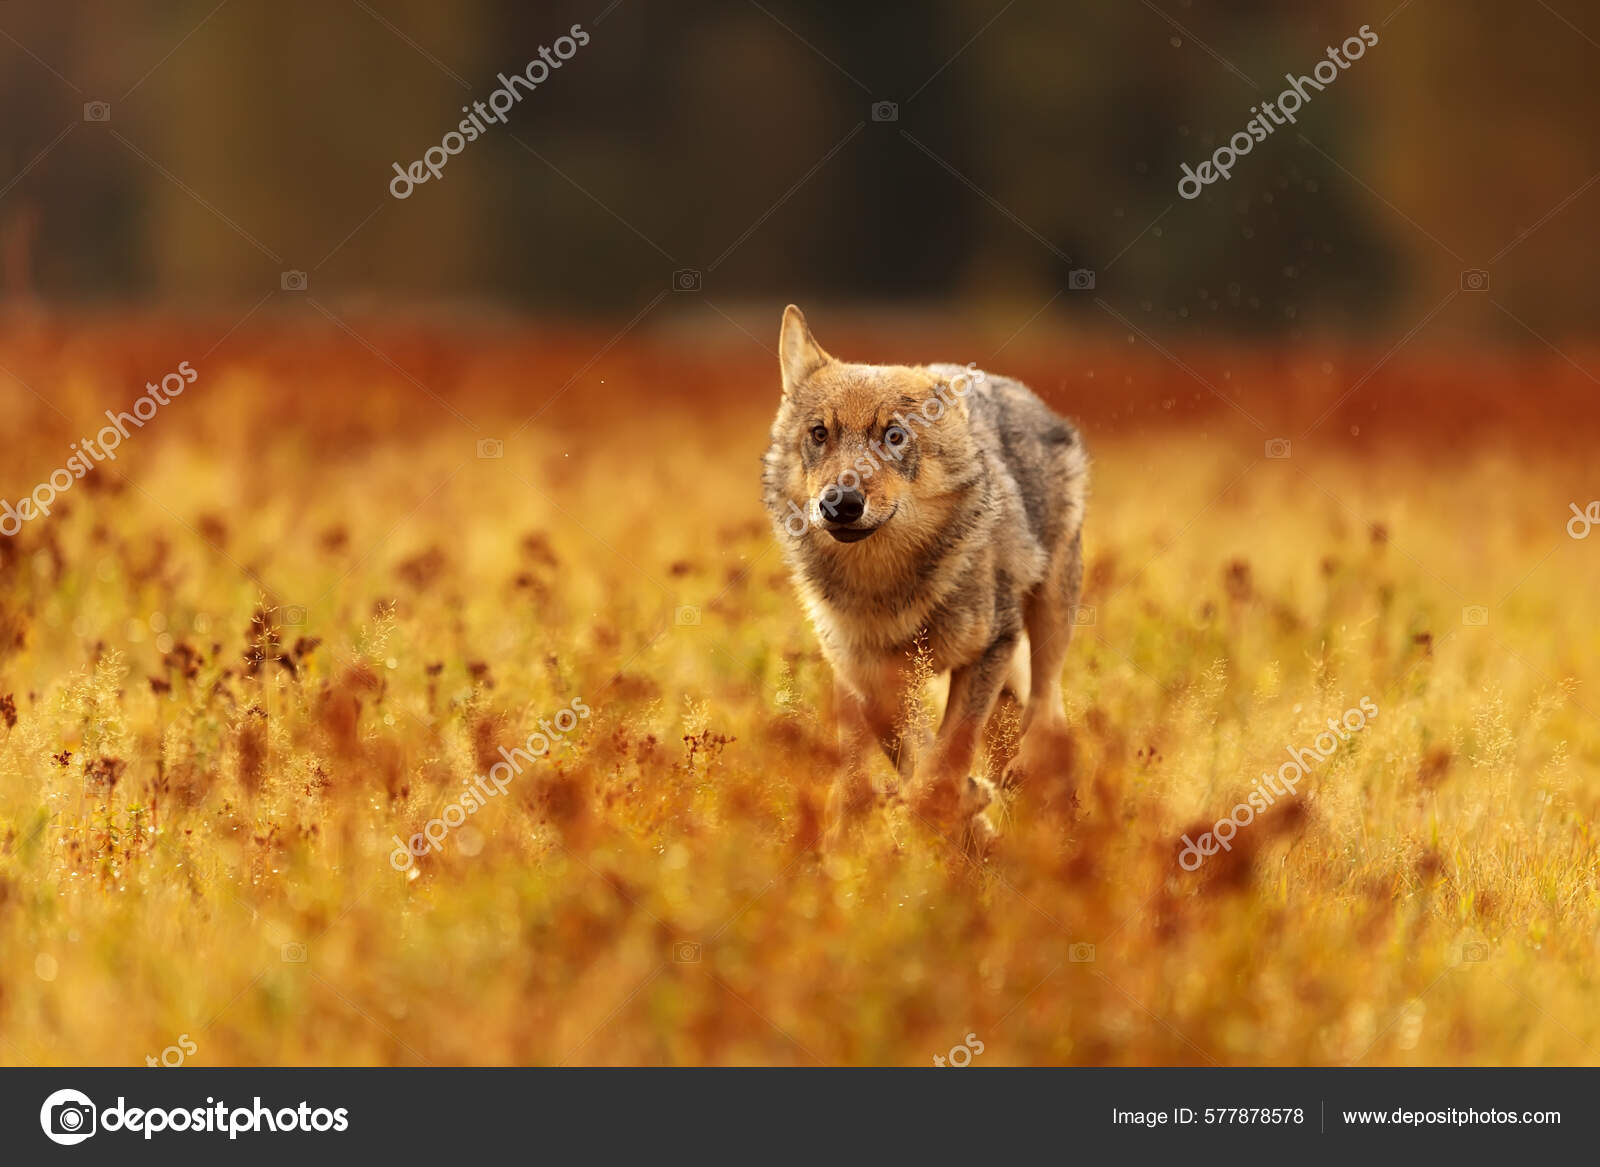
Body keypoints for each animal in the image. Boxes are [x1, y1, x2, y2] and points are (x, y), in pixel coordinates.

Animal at [761, 305, 1088, 847]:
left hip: (1049, 612)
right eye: (820, 433)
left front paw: (958, 812)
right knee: (855, 769)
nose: (840, 502)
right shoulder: (868, 674)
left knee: (1047, 705)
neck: (888, 586)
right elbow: (921, 759)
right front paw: (965, 818)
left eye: (894, 436)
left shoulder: (991, 645)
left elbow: (948, 753)